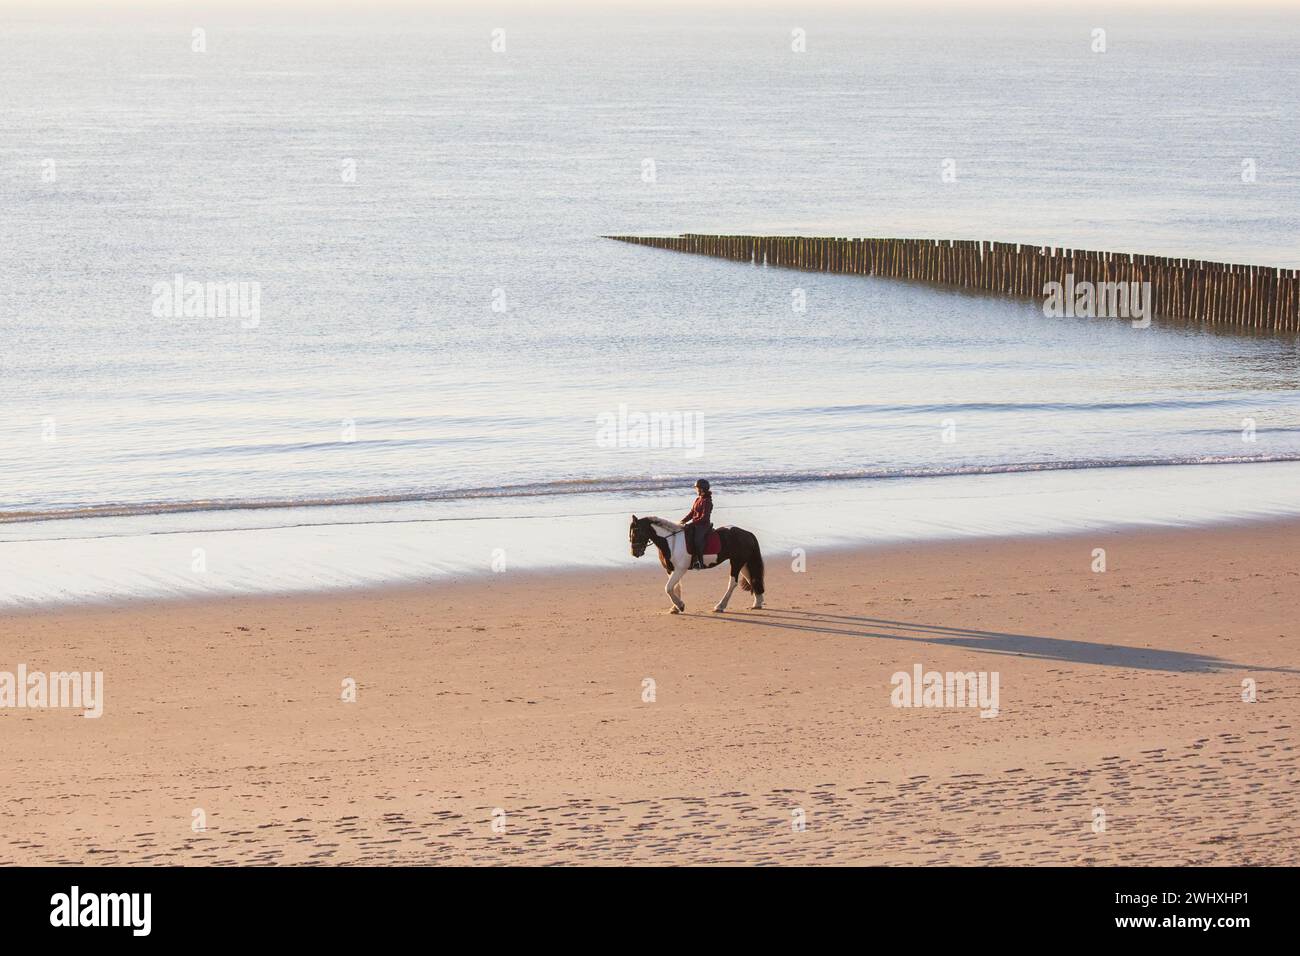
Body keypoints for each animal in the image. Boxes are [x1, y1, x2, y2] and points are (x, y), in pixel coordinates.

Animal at [628, 515, 765, 614]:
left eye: (636, 531)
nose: (634, 553)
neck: (670, 541)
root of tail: (747, 533)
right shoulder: (670, 569)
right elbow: (675, 587)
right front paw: (675, 608)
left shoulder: (680, 569)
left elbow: (668, 588)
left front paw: (680, 605)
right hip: (743, 563)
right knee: (752, 579)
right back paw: (757, 603)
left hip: (736, 562)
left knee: (733, 583)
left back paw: (720, 606)